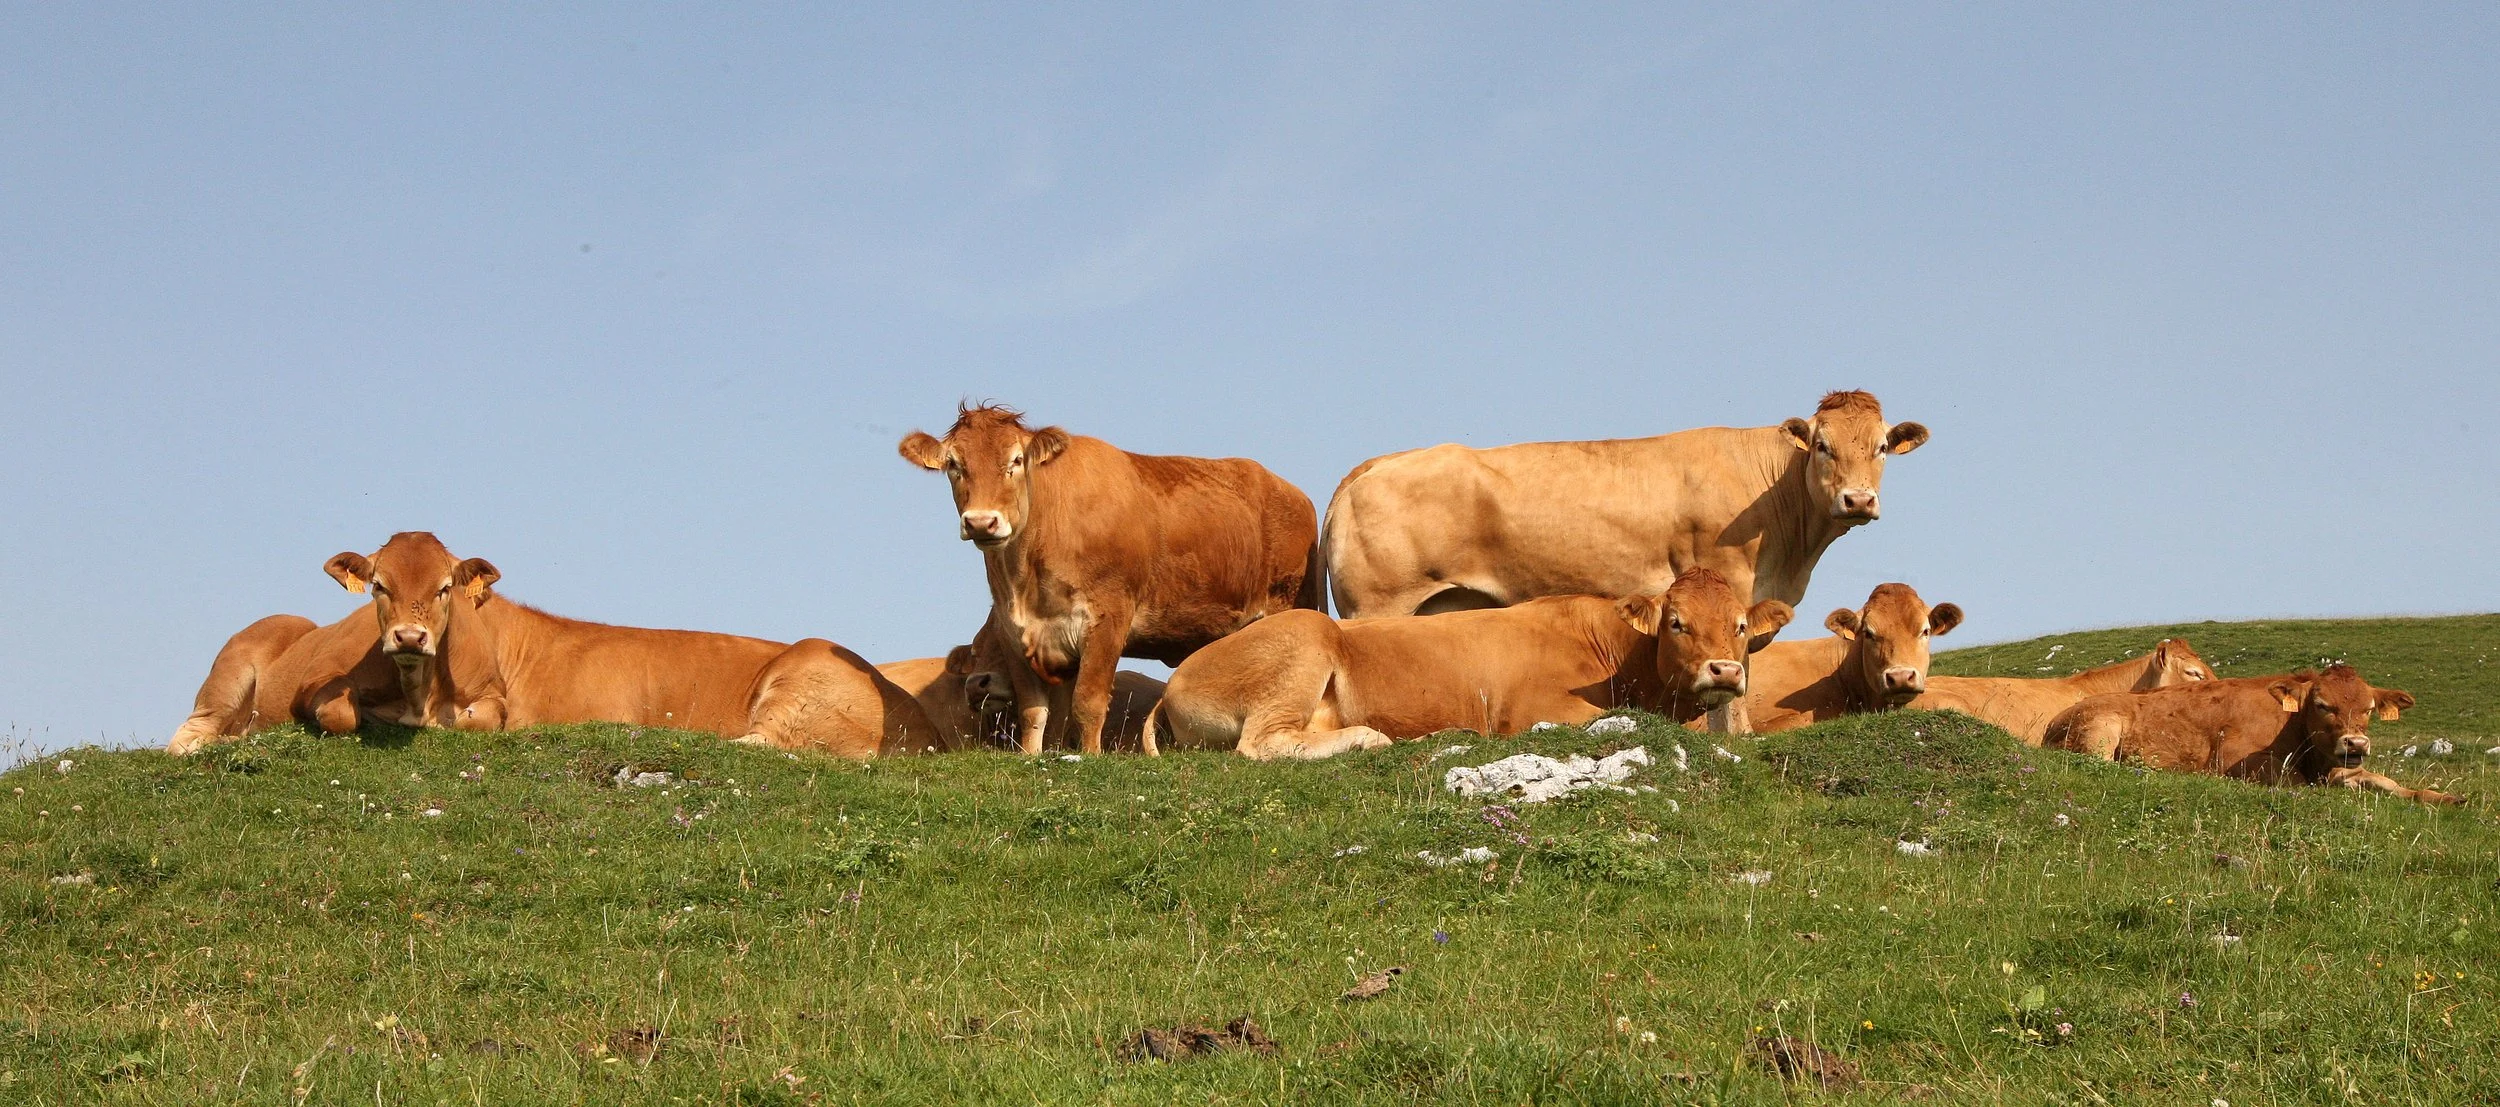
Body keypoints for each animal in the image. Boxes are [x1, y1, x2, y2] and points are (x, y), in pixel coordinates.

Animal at [898, 403, 1319, 755]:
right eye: (953, 464)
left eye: (1016, 460)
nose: (982, 522)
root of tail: (1288, 490)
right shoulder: (1017, 632)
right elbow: (1037, 713)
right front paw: (1034, 756)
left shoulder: (1107, 618)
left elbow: (1087, 702)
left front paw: (1089, 756)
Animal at [1147, 569, 1793, 760]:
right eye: (1676, 622)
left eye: (1740, 625)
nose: (1725, 671)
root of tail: (1177, 677)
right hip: (1302, 642)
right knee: (1259, 744)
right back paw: (1373, 738)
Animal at [1322, 390, 1929, 620]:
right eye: (1823, 445)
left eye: (1881, 448)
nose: (1858, 499)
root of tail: (1373, 464)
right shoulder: (1727, 577)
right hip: (1376, 606)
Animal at [2042, 663, 2460, 805]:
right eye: (2322, 704)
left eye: (2369, 708)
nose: (2355, 742)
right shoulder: (2240, 759)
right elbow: (2297, 783)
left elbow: (2385, 781)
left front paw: (2442, 797)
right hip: (2101, 729)